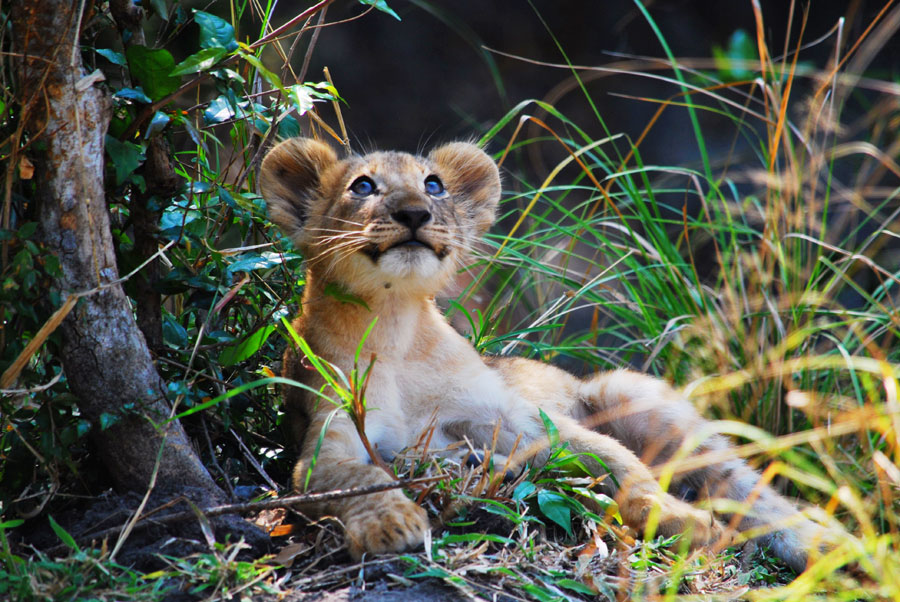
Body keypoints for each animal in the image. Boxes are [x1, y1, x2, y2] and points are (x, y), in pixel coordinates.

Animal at [259, 137, 833, 571]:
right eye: (363, 186)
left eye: (433, 185)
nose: (415, 213)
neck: (395, 324)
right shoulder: (326, 442)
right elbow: (359, 479)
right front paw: (389, 522)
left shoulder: (516, 417)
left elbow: (618, 461)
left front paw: (677, 516)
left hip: (633, 396)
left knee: (754, 493)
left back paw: (826, 548)